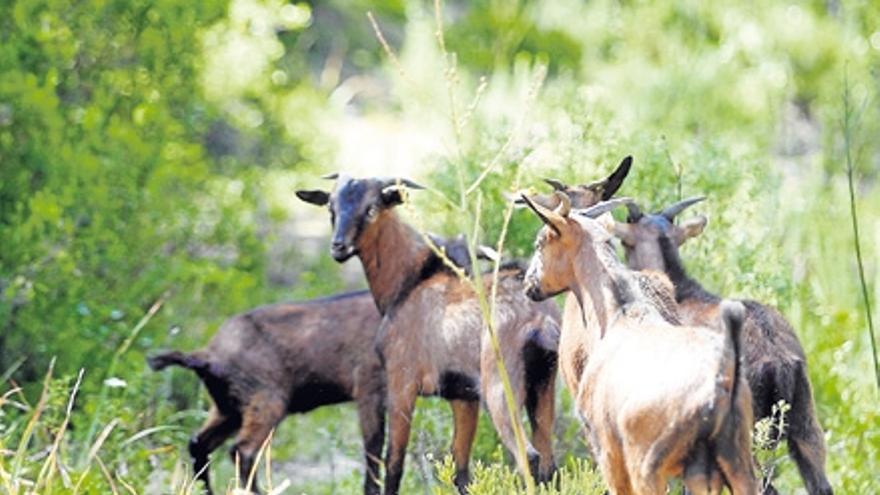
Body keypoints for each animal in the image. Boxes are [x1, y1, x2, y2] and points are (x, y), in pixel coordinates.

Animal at [297, 175, 561, 495]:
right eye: (330, 207)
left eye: (371, 208)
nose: (339, 246)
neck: (409, 282)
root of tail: (540, 319)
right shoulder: (463, 397)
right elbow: (460, 468)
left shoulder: (401, 383)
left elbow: (394, 462)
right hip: (544, 386)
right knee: (549, 462)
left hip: (502, 389)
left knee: (529, 458)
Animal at [520, 192, 758, 494]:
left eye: (541, 241)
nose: (529, 284)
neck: (620, 315)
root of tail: (720, 381)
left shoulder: (609, 452)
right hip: (734, 468)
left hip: (648, 468)